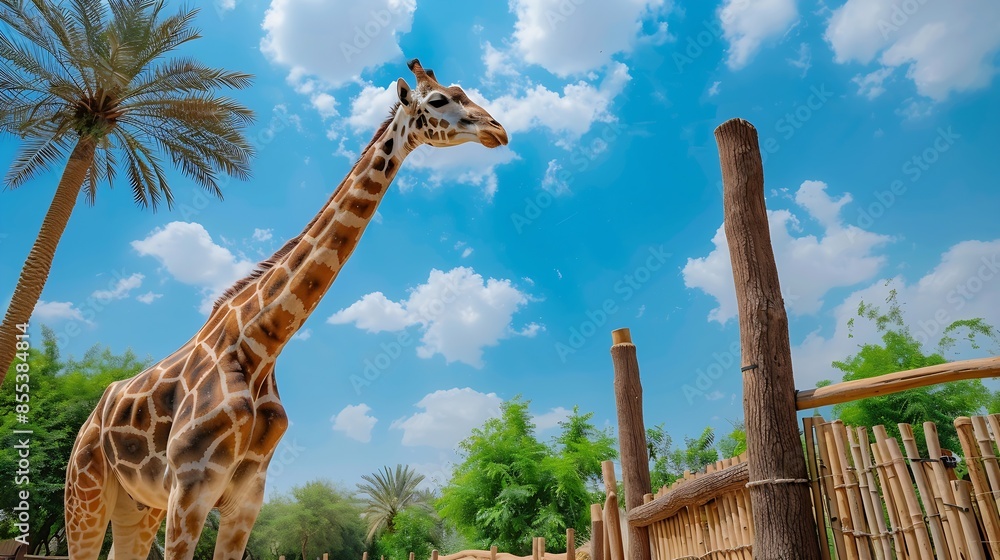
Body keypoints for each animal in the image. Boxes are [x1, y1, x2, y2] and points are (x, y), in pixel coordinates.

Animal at [64, 59, 508, 560]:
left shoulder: (246, 499)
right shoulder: (191, 486)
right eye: (438, 100)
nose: (498, 129)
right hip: (86, 489)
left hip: (139, 505)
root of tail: (90, 418)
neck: (262, 344)